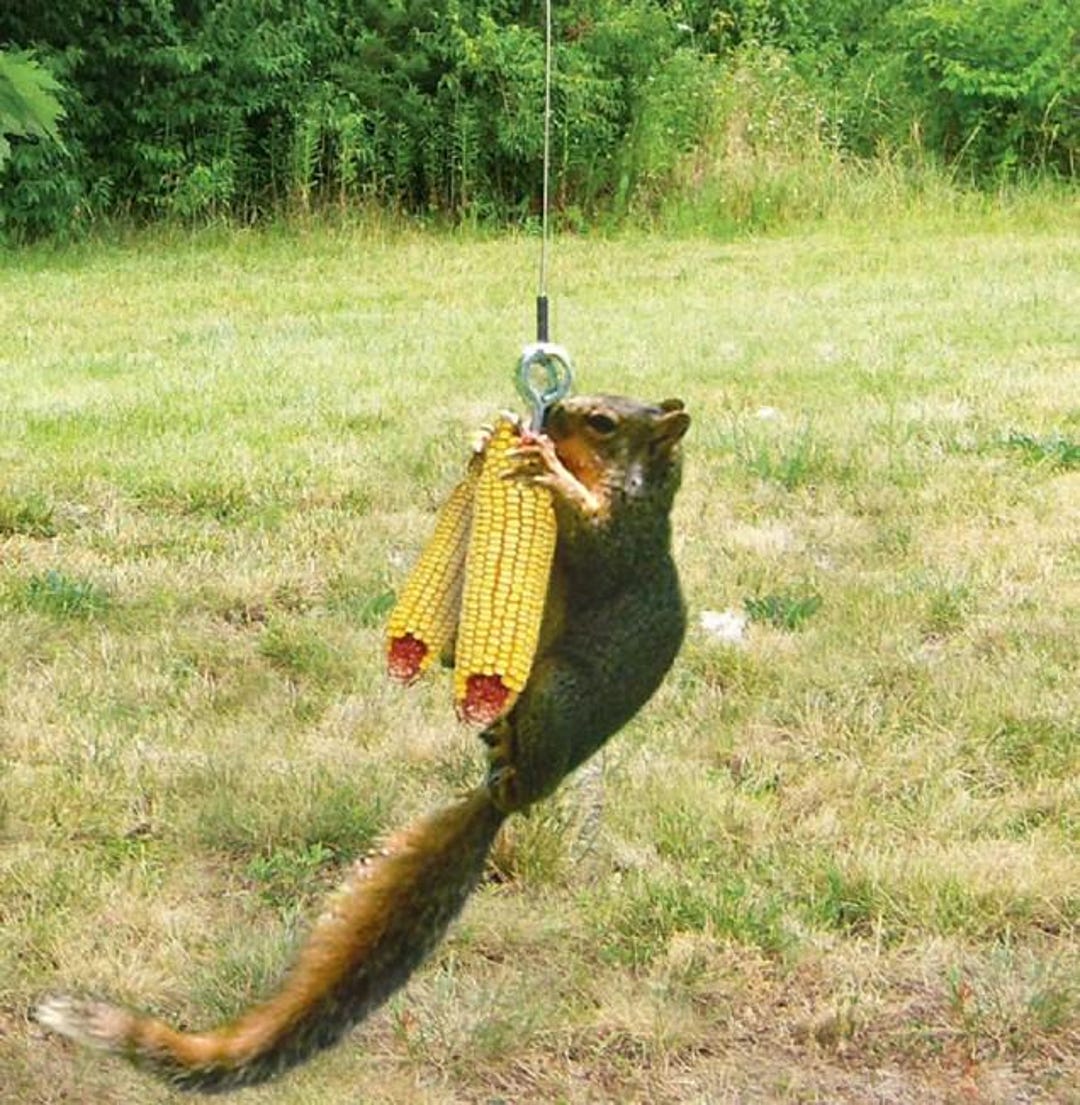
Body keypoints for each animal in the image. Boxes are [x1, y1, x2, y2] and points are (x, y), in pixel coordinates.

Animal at [37, 393, 691, 1091]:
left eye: (603, 424)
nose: (554, 411)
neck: (641, 487)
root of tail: (505, 801)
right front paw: (486, 444)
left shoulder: (626, 539)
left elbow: (594, 538)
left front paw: (546, 467)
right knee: (462, 668)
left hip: (558, 691)